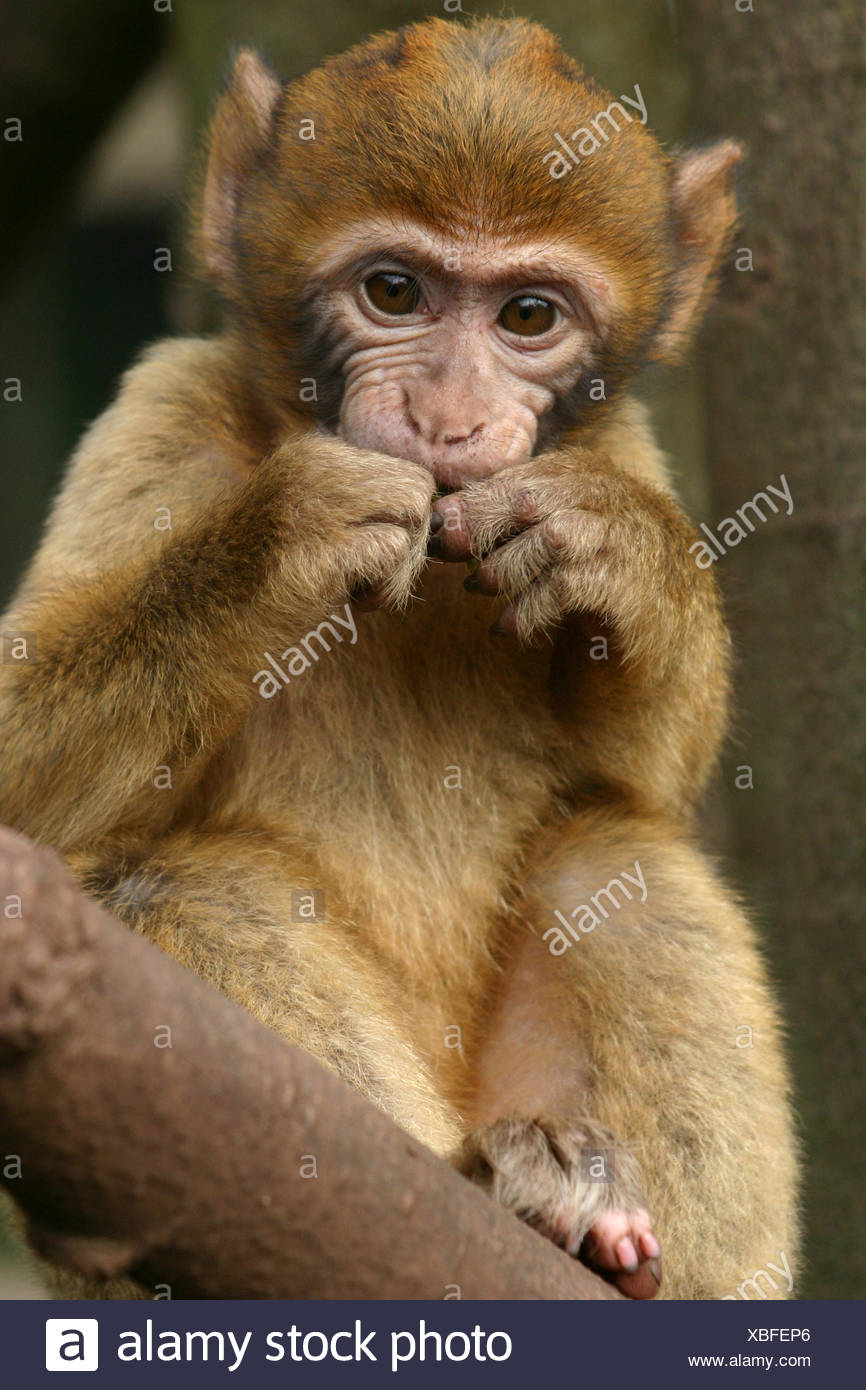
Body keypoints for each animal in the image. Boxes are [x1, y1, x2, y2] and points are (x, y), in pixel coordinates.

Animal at [0, 17, 798, 1300]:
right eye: (392, 292)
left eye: (526, 317)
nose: (445, 417)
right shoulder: (160, 410)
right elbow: (19, 773)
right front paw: (282, 541)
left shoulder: (616, 443)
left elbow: (649, 778)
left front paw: (616, 552)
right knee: (158, 880)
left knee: (614, 858)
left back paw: (598, 1233)